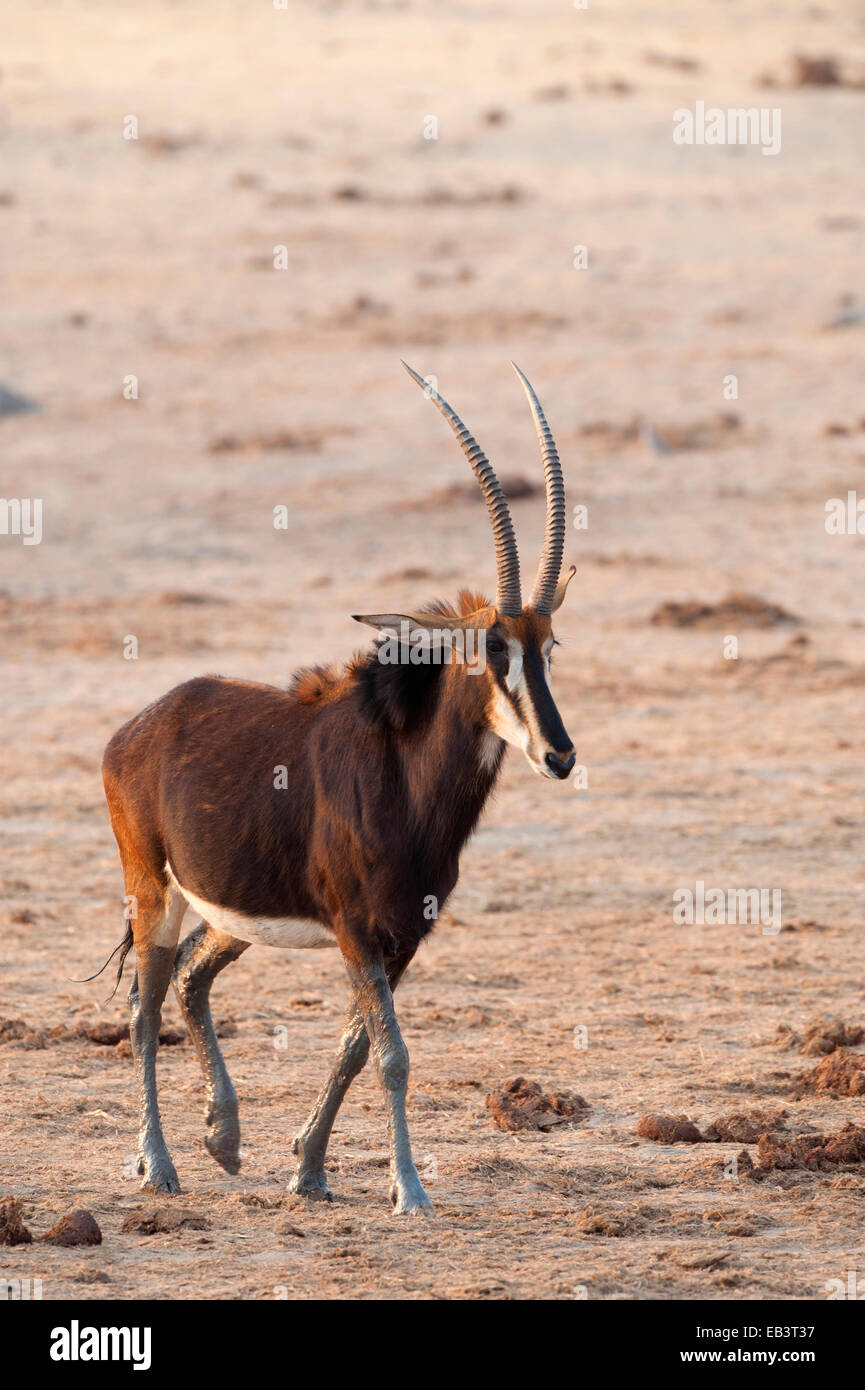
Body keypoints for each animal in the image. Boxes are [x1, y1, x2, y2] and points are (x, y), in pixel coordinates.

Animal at [100, 362, 576, 1215]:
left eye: (546, 647)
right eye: (488, 649)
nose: (559, 756)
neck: (404, 782)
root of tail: (139, 728)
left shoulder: (403, 937)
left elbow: (358, 1047)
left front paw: (308, 1168)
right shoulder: (358, 932)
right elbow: (391, 1056)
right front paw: (408, 1190)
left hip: (234, 911)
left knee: (190, 977)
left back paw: (224, 1140)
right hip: (152, 889)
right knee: (146, 1006)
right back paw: (159, 1162)